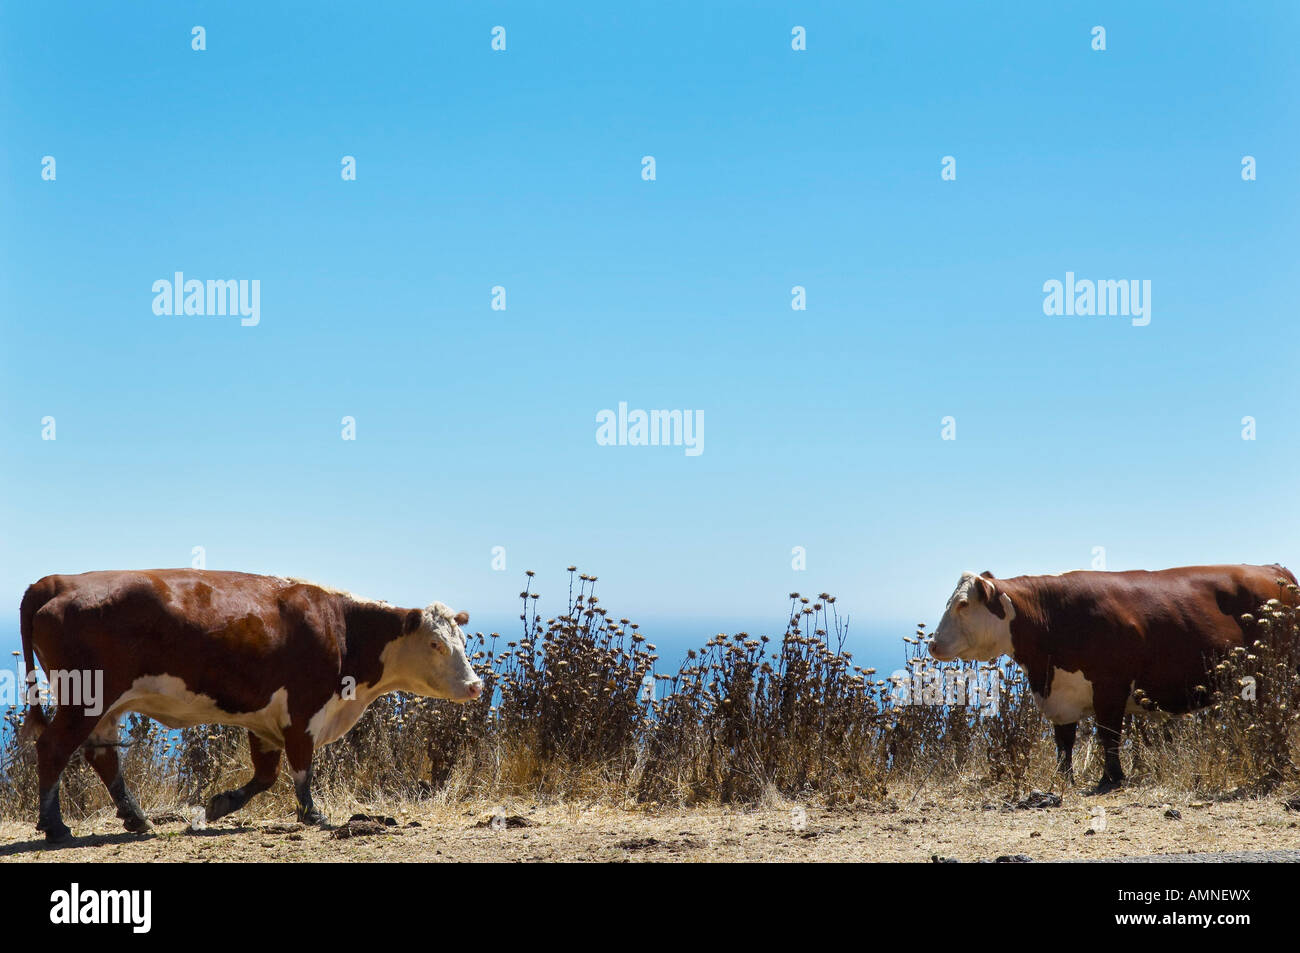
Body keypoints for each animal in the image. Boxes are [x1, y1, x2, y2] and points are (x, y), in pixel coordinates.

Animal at [18, 569, 484, 843]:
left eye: (461, 640)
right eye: (436, 644)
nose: (476, 685)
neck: (343, 627)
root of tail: (57, 581)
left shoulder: (266, 721)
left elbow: (266, 774)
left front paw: (220, 804)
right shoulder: (304, 708)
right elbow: (301, 767)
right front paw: (312, 814)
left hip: (106, 706)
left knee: (102, 757)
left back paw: (137, 819)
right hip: (84, 698)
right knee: (54, 748)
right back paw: (55, 826)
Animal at [928, 564, 1298, 791]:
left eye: (963, 605)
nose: (933, 643)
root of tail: (1274, 571)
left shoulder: (1110, 688)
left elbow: (1108, 735)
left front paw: (1111, 778)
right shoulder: (1060, 695)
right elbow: (1064, 742)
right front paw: (1065, 779)